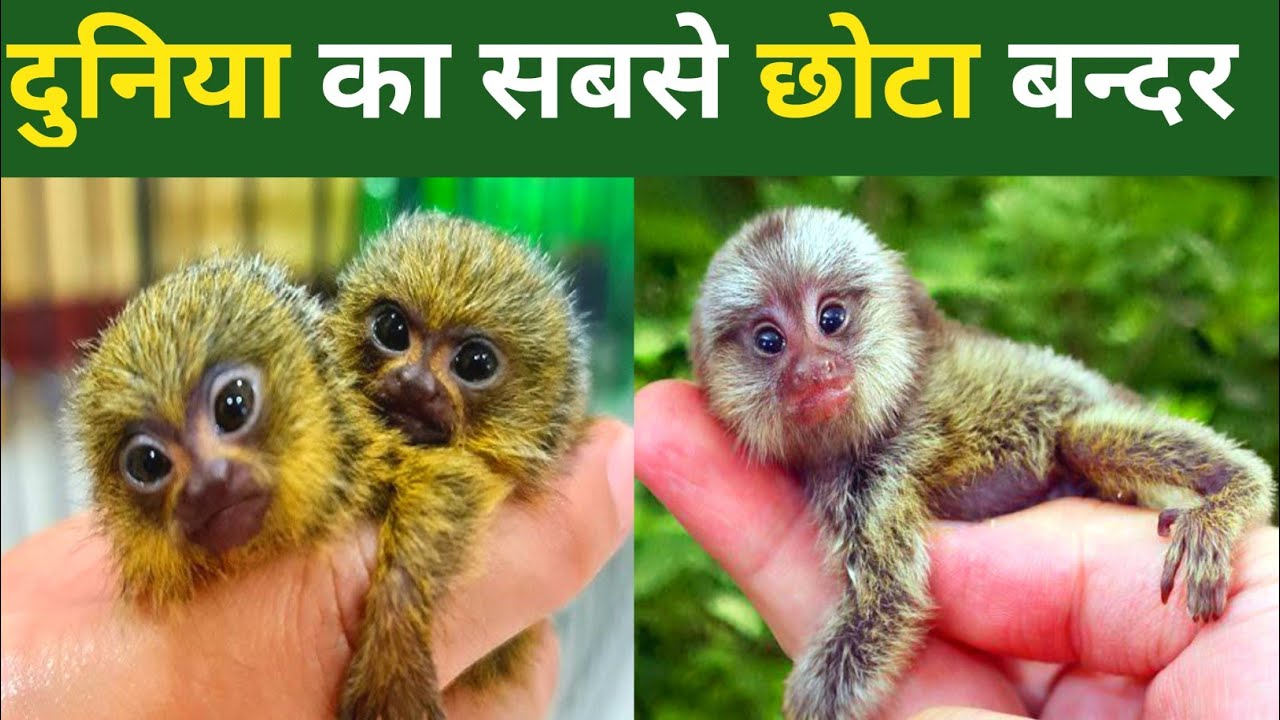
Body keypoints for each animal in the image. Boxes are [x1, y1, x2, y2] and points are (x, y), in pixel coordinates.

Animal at [688, 206, 1274, 720]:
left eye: (830, 318)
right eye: (769, 340)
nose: (813, 371)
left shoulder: (883, 471)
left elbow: (887, 599)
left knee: (1082, 437)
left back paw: (1229, 499)